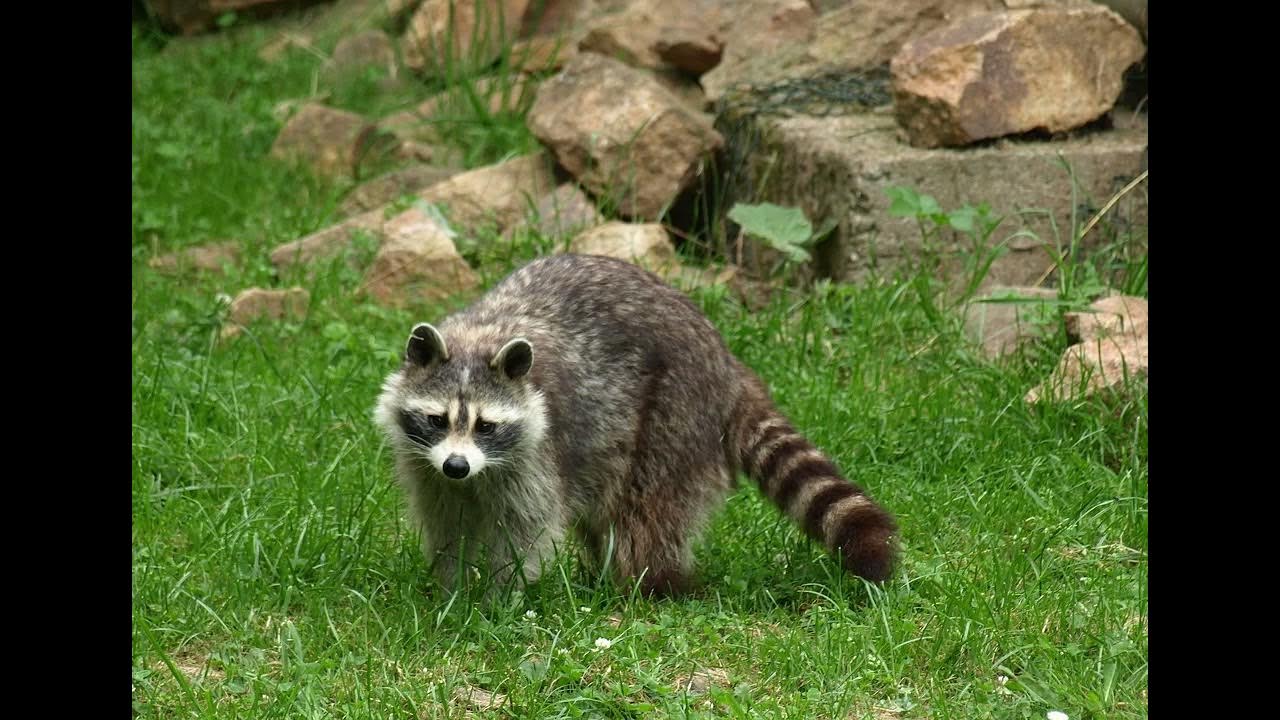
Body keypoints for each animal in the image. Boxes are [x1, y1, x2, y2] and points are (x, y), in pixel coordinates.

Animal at [374, 254, 898, 595]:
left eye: (485, 425)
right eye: (437, 420)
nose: (458, 465)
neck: (480, 335)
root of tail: (726, 362)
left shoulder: (538, 457)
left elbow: (527, 528)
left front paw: (502, 594)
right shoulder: (427, 467)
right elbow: (447, 520)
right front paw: (452, 584)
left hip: (675, 414)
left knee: (646, 514)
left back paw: (649, 585)